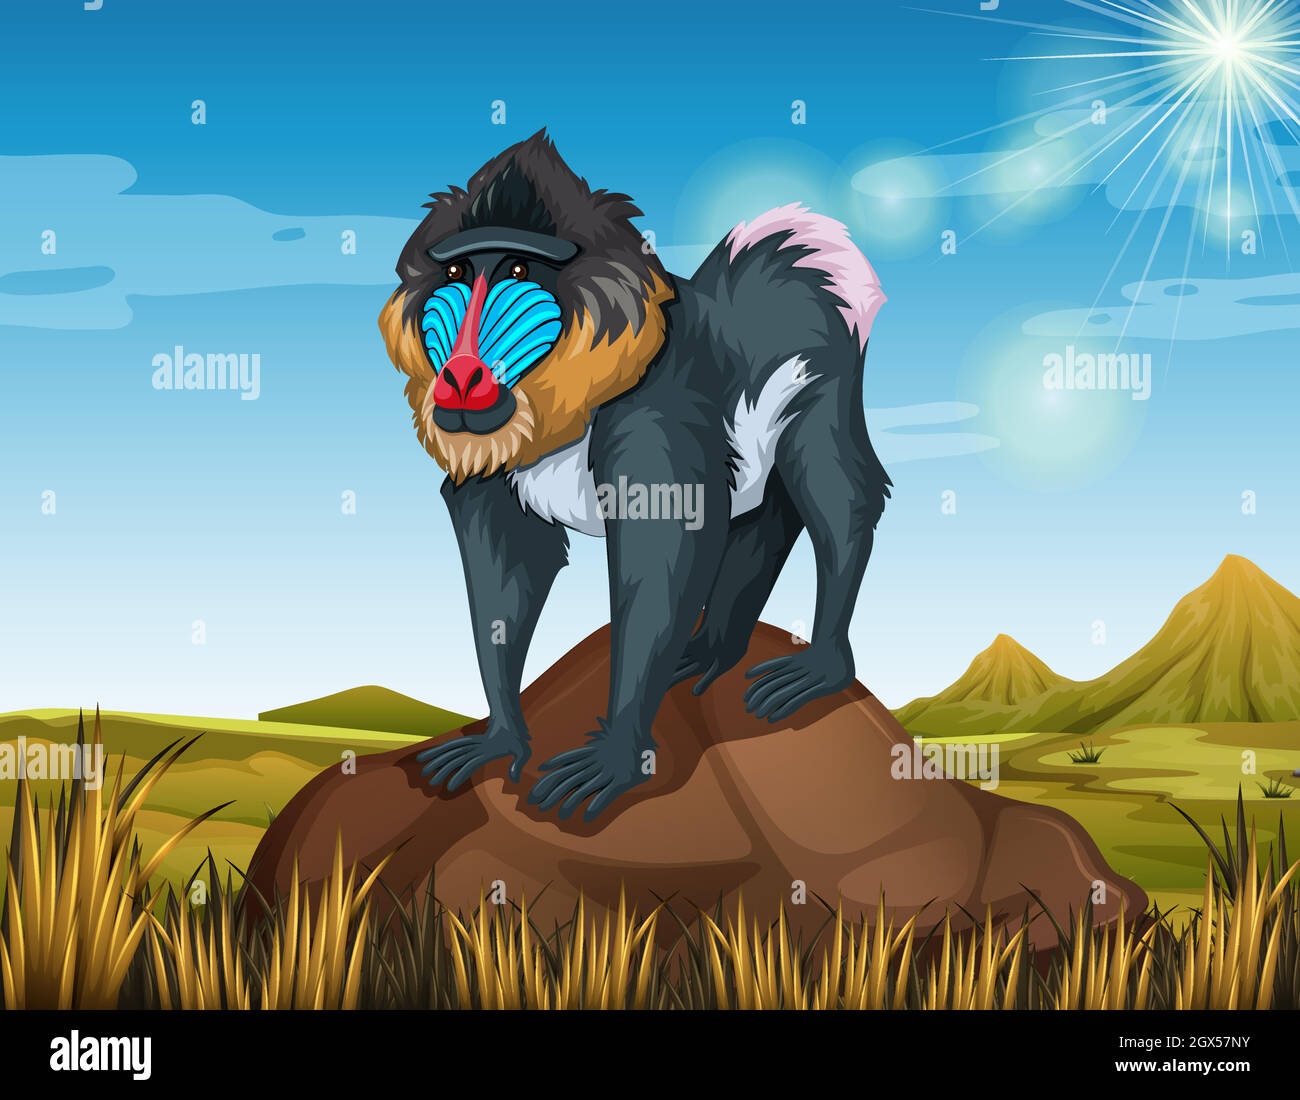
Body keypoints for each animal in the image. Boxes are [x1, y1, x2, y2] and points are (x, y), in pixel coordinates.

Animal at [378, 130, 890, 821]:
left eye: (517, 272)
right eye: (457, 274)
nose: (460, 377)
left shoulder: (651, 431)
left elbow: (659, 567)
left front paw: (616, 760)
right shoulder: (489, 479)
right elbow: (505, 581)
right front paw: (499, 740)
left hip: (819, 393)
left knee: (840, 502)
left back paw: (824, 665)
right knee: (762, 521)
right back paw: (711, 650)